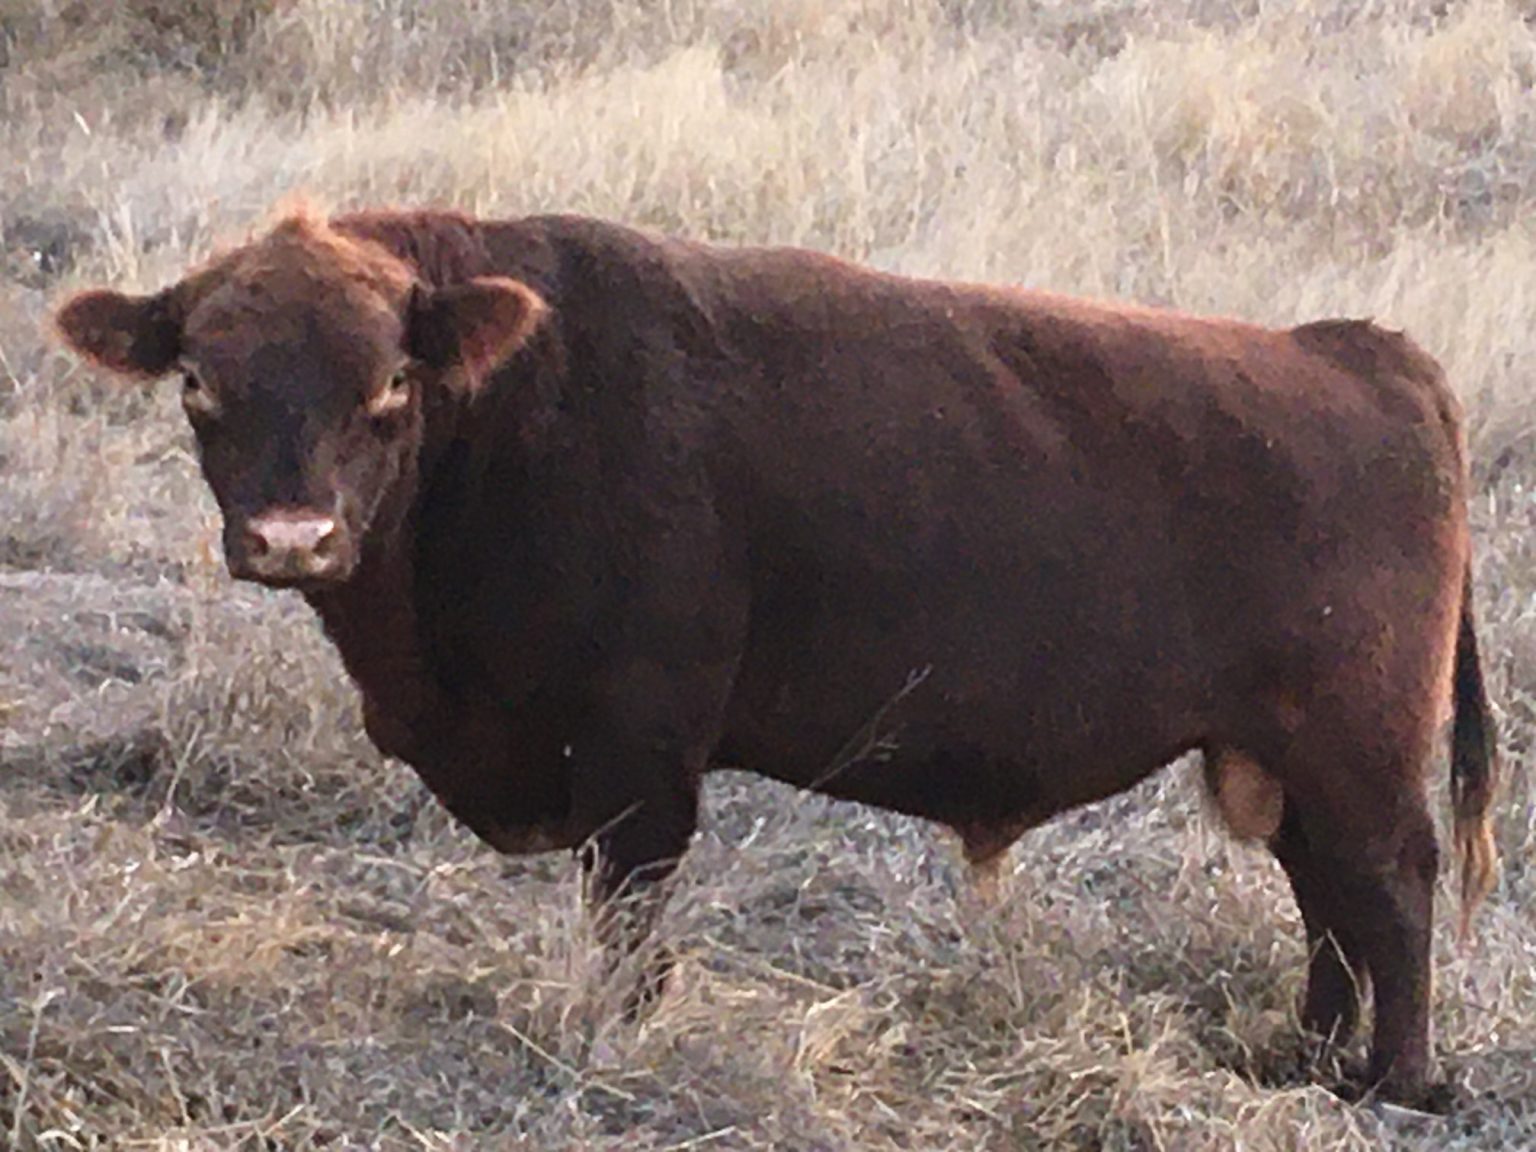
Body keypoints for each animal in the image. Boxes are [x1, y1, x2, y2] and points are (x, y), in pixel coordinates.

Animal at [53, 204, 1498, 1104]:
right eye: (199, 383)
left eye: (390, 384)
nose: (291, 536)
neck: (512, 412)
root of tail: (1357, 352)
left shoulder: (639, 748)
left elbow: (629, 903)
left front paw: (614, 1031)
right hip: (1282, 760)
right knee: (1328, 902)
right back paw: (1306, 1059)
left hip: (1359, 753)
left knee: (1390, 891)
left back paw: (1397, 1083)